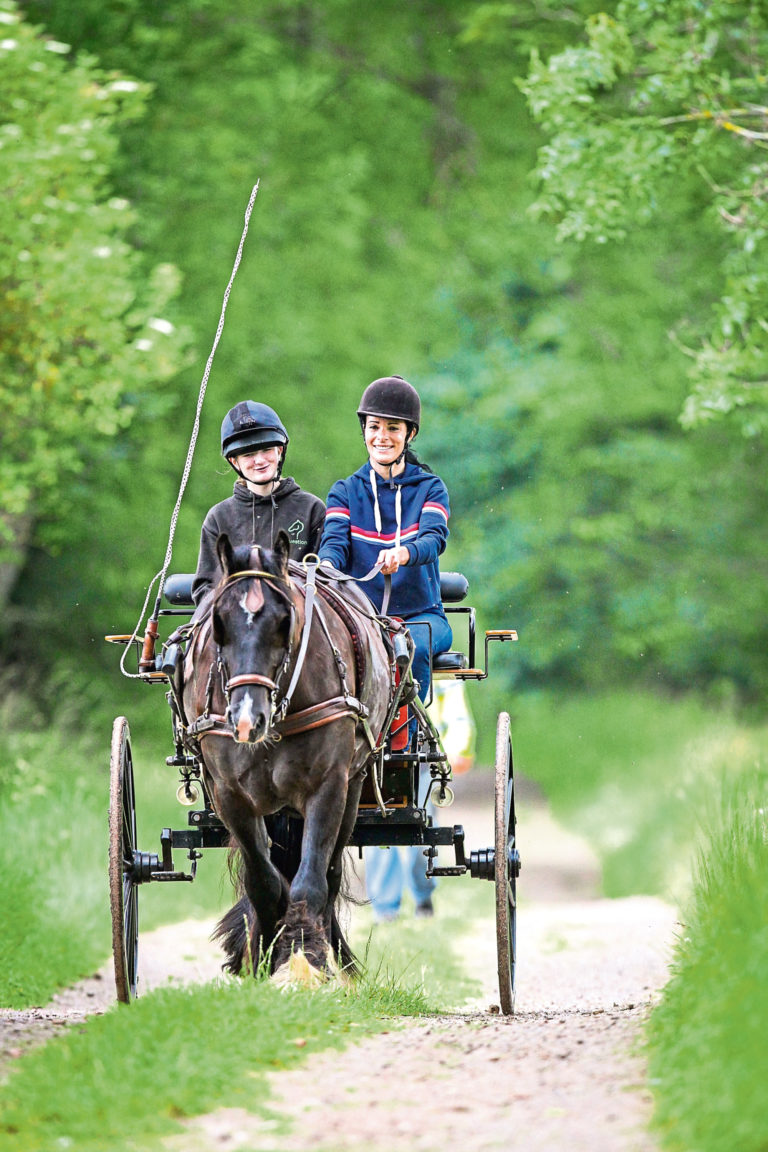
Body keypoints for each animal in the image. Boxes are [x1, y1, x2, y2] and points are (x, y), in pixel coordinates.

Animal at [180, 530, 392, 983]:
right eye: (218, 622)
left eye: (285, 621)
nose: (247, 719)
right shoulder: (229, 794)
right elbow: (263, 880)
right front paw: (260, 955)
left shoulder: (328, 786)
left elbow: (310, 881)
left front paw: (305, 958)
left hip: (354, 786)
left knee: (329, 874)